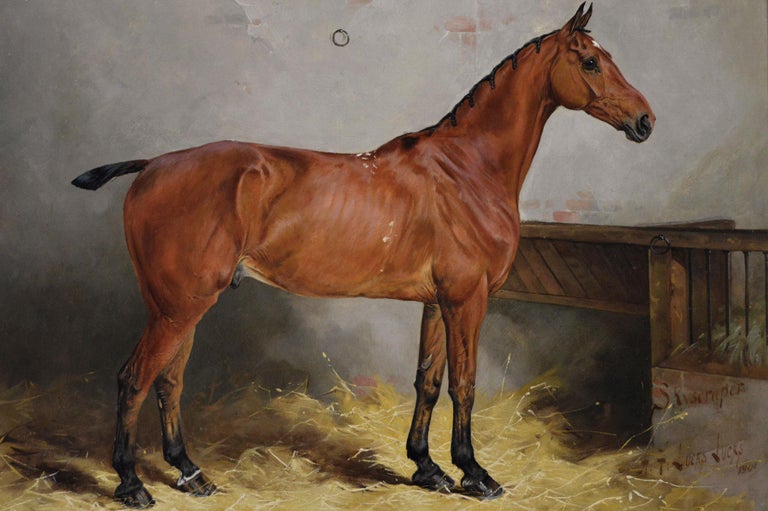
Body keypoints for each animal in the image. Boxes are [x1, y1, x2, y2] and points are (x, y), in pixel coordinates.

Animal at [72, 4, 653, 507]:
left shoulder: (437, 302)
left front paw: (427, 468)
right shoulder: (468, 300)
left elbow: (428, 381)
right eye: (590, 61)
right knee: (134, 379)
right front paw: (474, 473)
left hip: (183, 307)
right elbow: (464, 385)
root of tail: (153, 164)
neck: (467, 168)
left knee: (168, 382)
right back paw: (131, 484)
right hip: (178, 307)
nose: (646, 121)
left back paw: (191, 475)